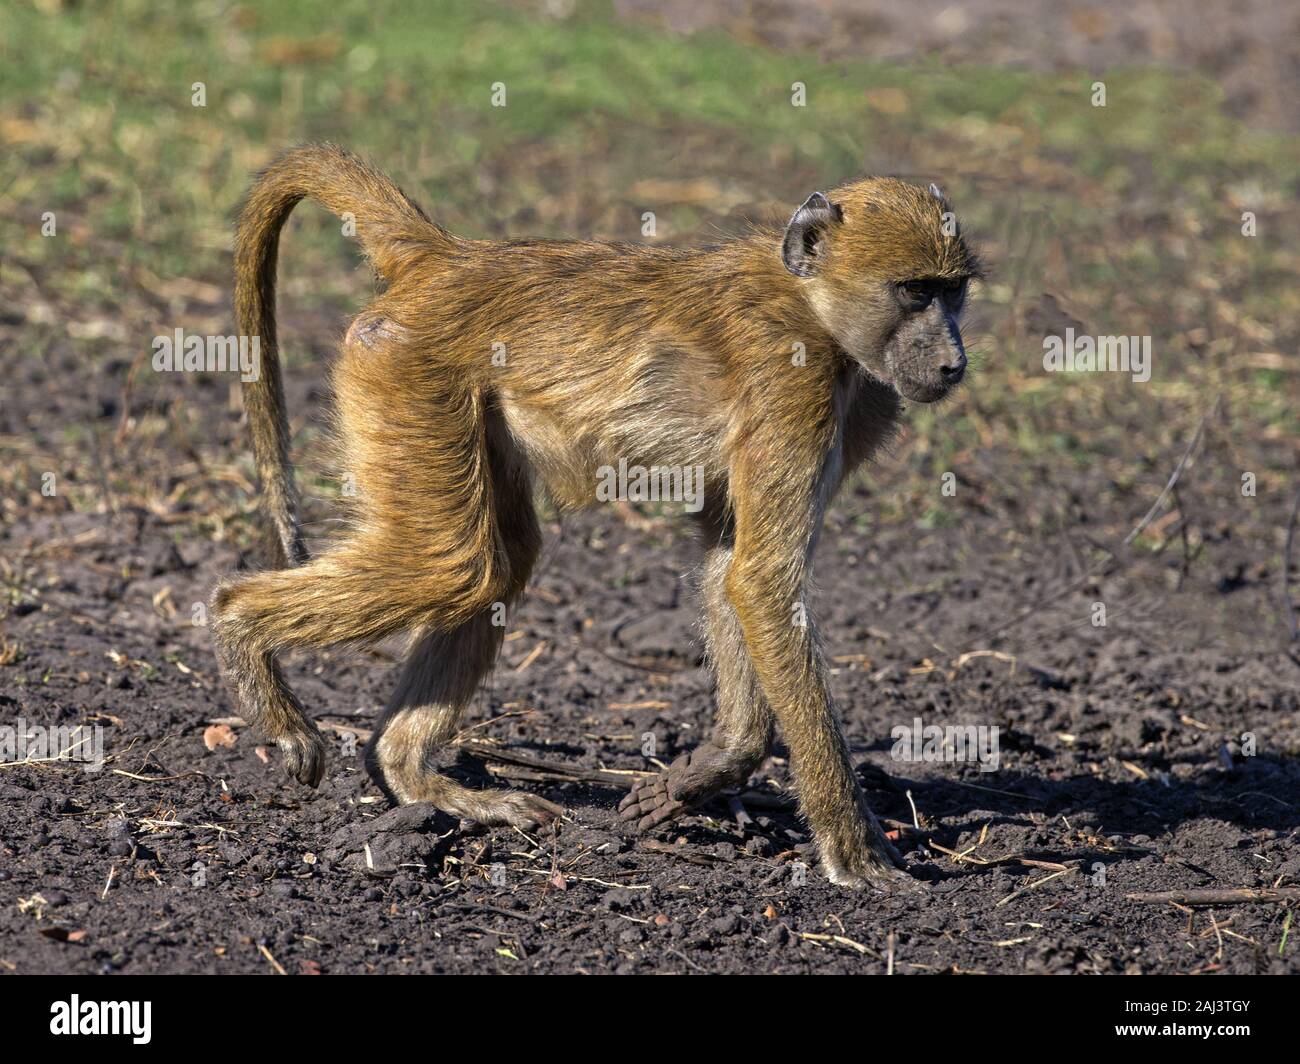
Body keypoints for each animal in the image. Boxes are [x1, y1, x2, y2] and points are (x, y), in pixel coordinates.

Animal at [211, 144, 979, 889]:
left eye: (954, 291)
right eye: (914, 291)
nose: (953, 364)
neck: (812, 305)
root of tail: (451, 258)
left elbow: (729, 562)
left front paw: (706, 771)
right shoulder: (792, 385)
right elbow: (762, 582)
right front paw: (857, 854)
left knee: (495, 567)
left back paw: (415, 779)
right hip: (408, 375)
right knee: (455, 562)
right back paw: (242, 633)